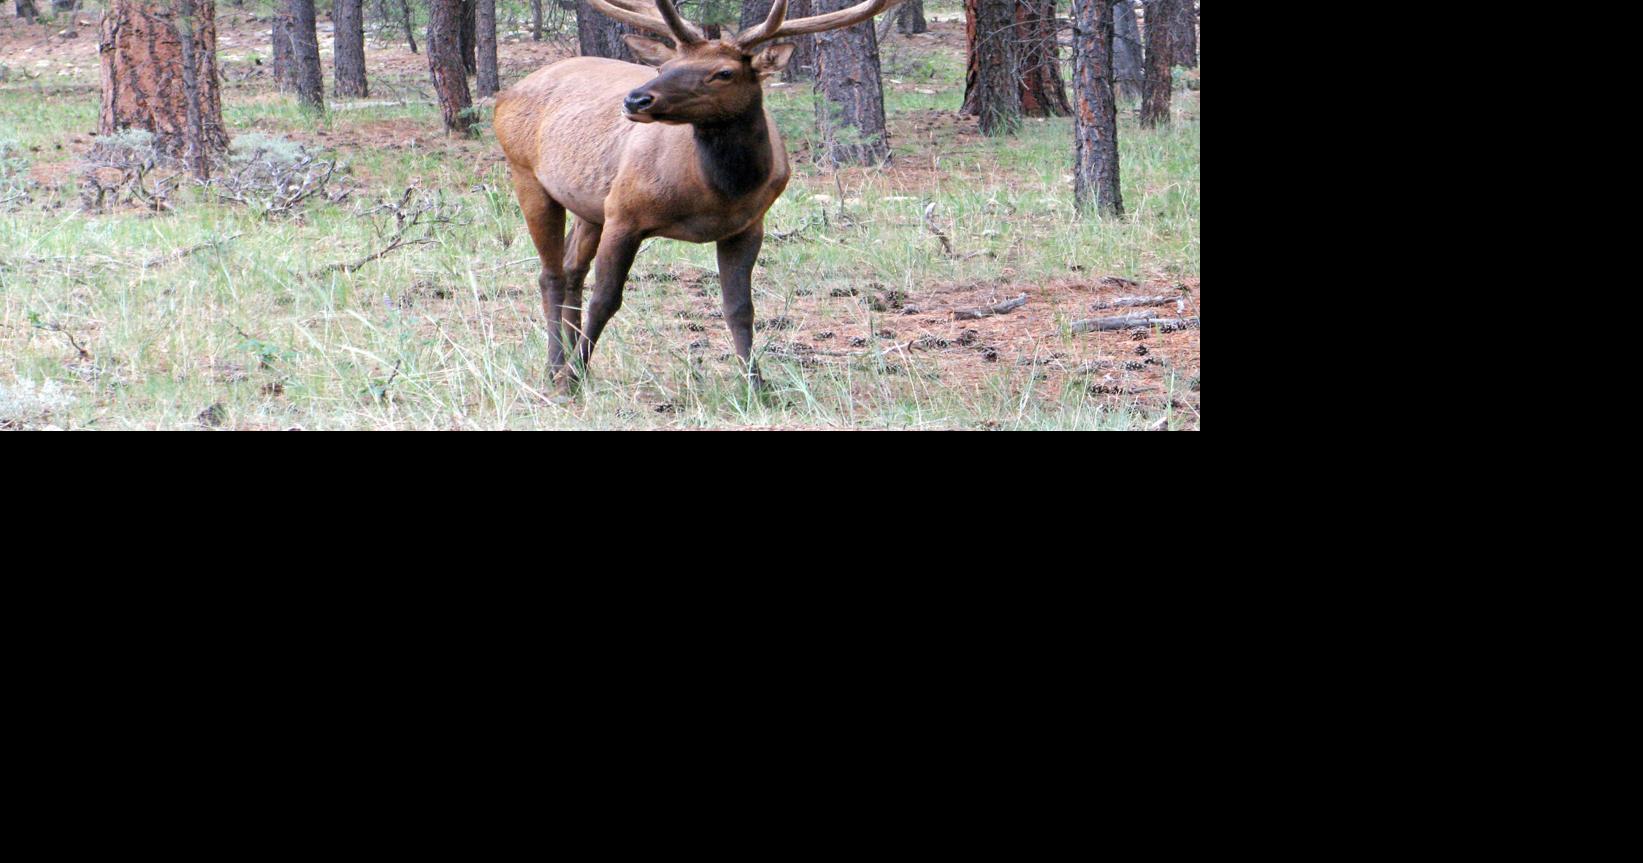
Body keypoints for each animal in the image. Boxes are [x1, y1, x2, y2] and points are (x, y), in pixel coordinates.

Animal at [493, 0, 901, 393]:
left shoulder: (747, 226)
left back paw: (566, 359)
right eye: (666, 65)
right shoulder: (624, 214)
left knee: (572, 269)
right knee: (552, 274)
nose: (636, 100)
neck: (717, 191)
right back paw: (556, 367)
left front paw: (757, 386)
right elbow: (605, 300)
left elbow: (740, 307)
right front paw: (572, 378)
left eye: (724, 73)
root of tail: (503, 96)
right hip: (526, 174)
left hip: (589, 205)